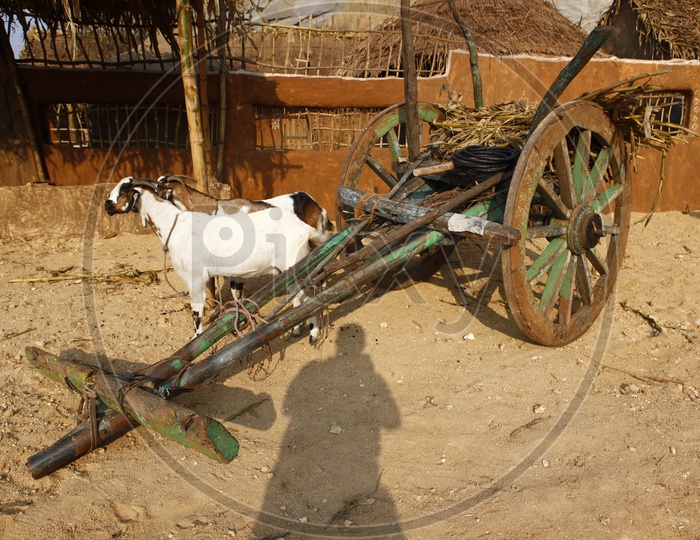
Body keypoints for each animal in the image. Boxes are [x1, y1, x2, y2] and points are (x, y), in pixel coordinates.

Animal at [104, 177, 323, 340]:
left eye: (123, 189)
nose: (107, 206)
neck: (175, 225)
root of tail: (306, 229)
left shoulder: (194, 278)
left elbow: (196, 311)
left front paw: (196, 339)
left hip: (294, 264)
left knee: (308, 295)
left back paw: (313, 334)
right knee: (298, 296)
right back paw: (296, 329)